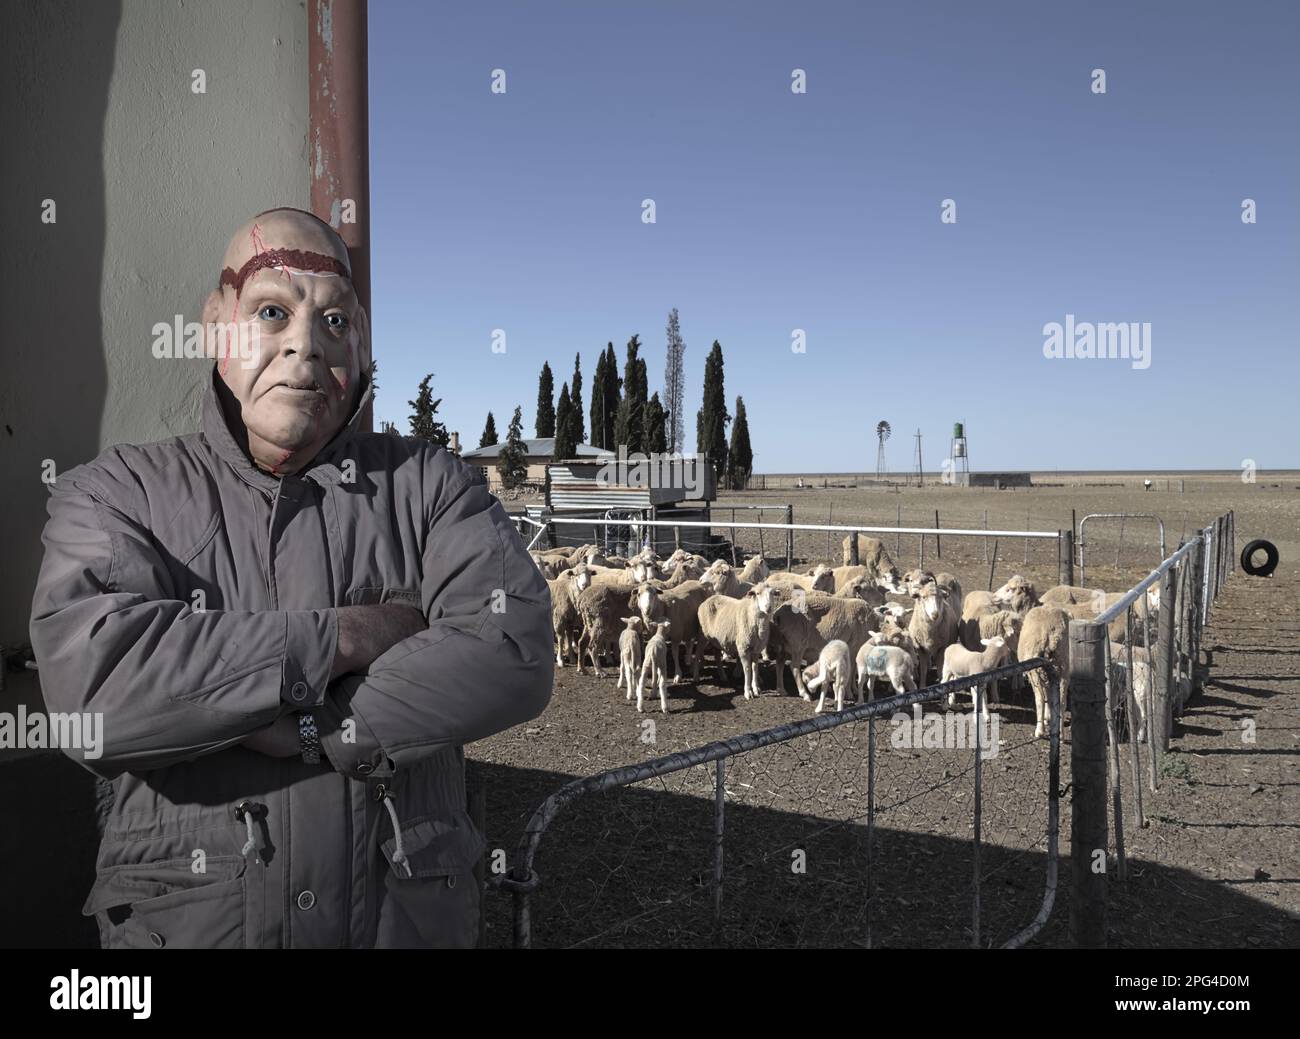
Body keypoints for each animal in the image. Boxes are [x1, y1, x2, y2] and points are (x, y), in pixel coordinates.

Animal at [1017, 606, 1071, 739]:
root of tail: (1048, 633)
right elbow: (1050, 696)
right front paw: (1049, 717)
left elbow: (1045, 696)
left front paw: (1046, 718)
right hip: (1063, 665)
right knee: (1062, 701)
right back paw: (1060, 734)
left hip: (1035, 670)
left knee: (1040, 698)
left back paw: (1039, 730)